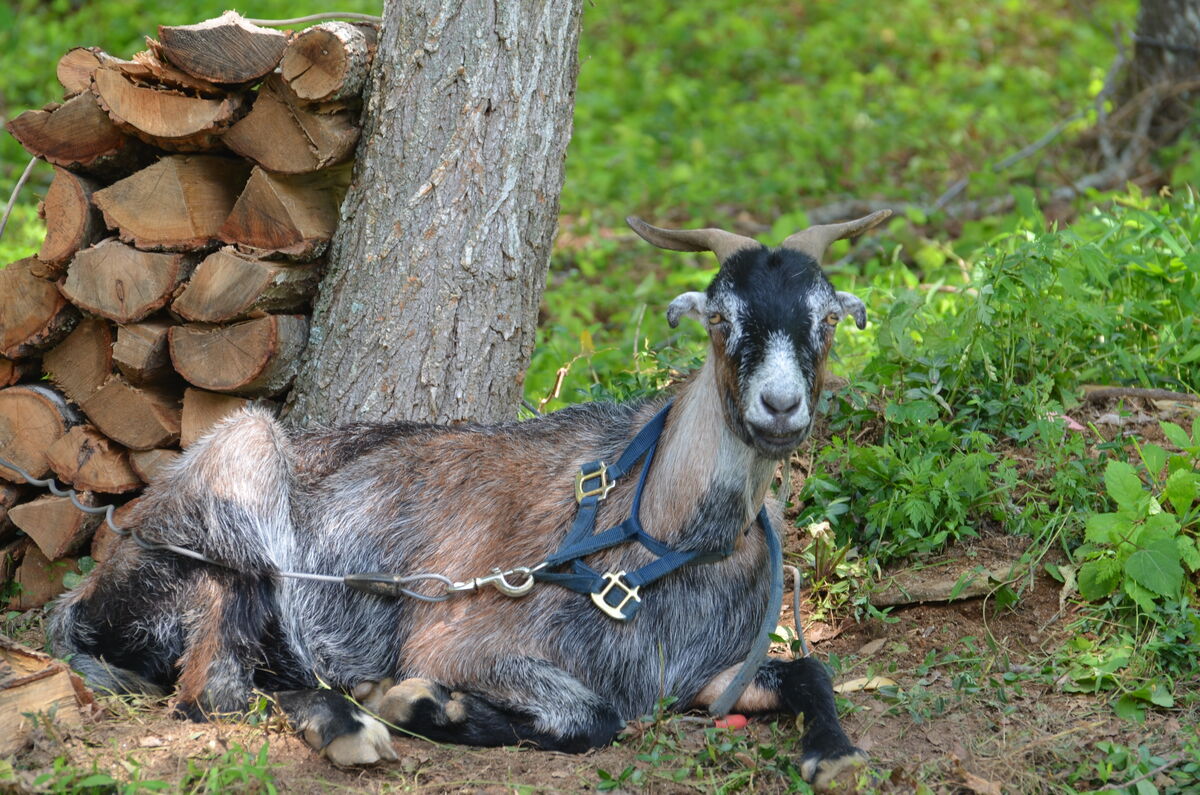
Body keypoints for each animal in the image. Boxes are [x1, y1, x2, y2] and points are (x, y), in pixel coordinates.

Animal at [48, 209, 889, 788]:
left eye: (825, 321)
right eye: (721, 318)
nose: (779, 407)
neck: (659, 534)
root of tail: (86, 595)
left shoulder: (714, 676)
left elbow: (813, 670)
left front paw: (836, 752)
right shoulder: (464, 641)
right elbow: (593, 716)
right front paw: (425, 705)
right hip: (239, 480)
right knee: (214, 689)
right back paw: (347, 720)